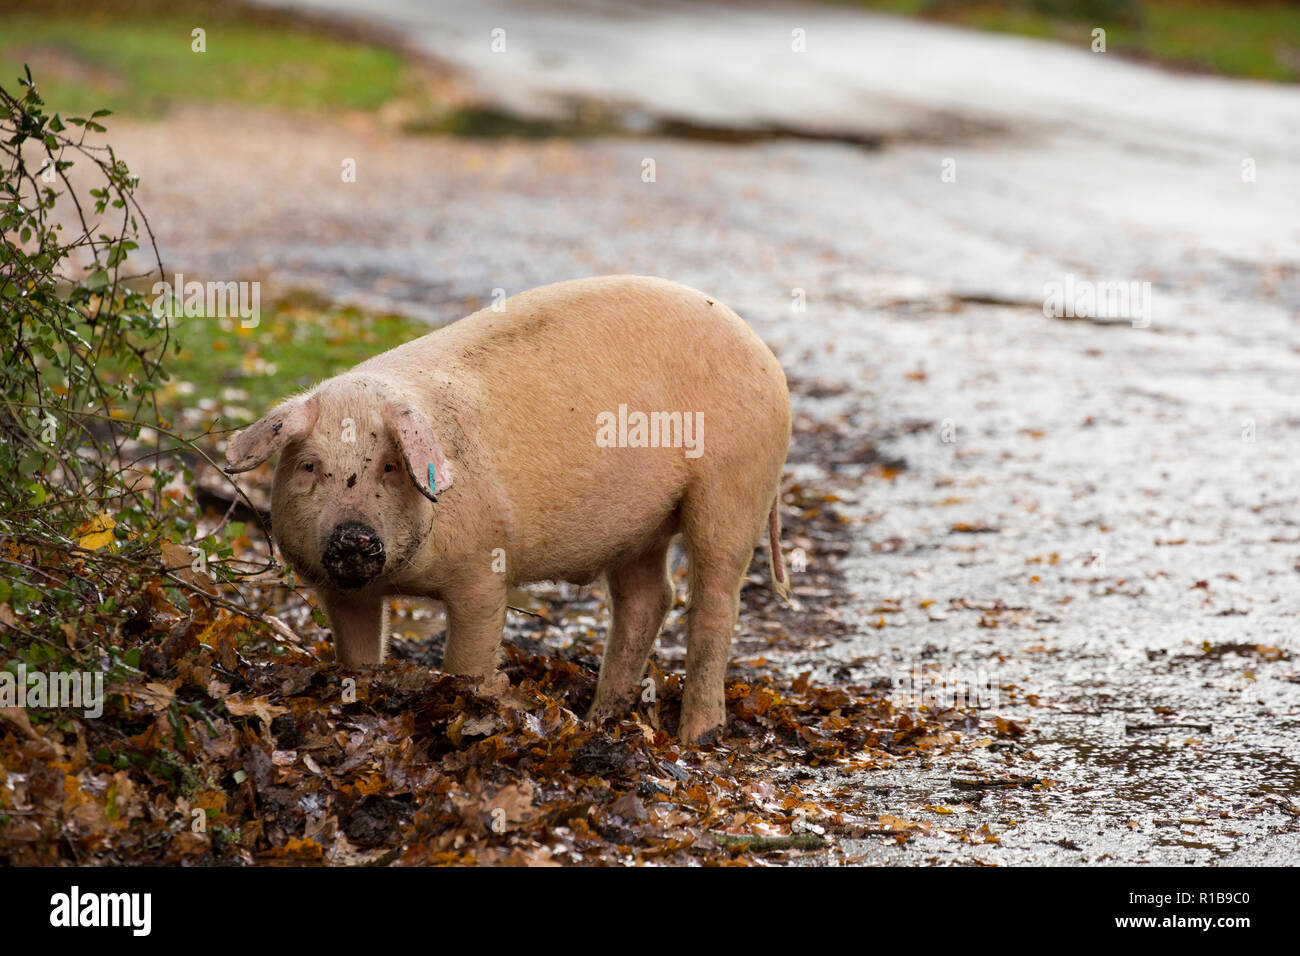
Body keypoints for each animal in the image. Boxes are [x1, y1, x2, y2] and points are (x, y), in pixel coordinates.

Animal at [225, 275, 791, 743]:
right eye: (310, 466)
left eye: (389, 466)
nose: (353, 535)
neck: (402, 579)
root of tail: (765, 353)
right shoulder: (339, 589)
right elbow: (358, 656)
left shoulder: (483, 570)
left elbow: (467, 661)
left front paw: (467, 713)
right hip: (640, 528)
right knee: (649, 598)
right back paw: (599, 720)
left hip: (735, 486)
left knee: (715, 604)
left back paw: (696, 737)